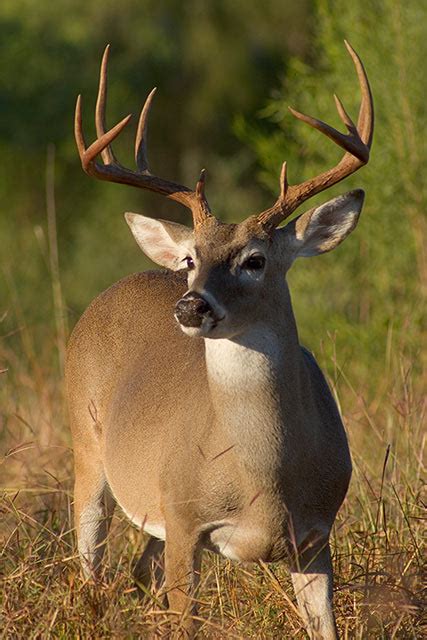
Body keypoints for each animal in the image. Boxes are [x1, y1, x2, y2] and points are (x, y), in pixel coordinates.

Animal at [67, 41, 373, 639]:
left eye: (255, 260)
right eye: (191, 259)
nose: (190, 305)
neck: (263, 480)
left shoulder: (317, 533)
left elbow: (325, 627)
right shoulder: (185, 517)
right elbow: (184, 620)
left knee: (136, 574)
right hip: (87, 449)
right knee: (90, 568)